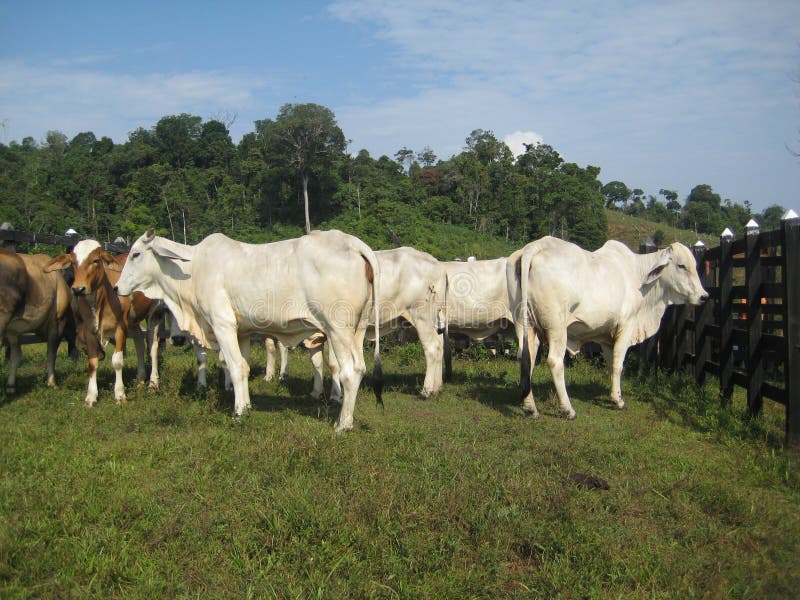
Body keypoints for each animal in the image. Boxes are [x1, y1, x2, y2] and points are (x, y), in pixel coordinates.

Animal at [45, 240, 164, 406]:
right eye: (73, 262)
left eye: (96, 260)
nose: (78, 289)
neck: (100, 299)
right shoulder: (89, 330)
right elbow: (92, 362)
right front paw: (91, 396)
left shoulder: (120, 327)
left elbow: (117, 361)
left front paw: (120, 394)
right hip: (132, 321)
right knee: (140, 343)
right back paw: (140, 380)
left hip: (155, 312)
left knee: (152, 346)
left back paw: (153, 384)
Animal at [114, 229, 382, 432]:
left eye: (136, 254)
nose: (116, 287)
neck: (194, 270)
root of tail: (352, 243)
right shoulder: (242, 332)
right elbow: (244, 367)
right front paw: (247, 406)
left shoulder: (222, 324)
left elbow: (235, 368)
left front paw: (239, 412)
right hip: (357, 330)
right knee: (359, 367)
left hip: (338, 329)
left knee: (350, 371)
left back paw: (342, 425)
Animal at [507, 237, 709, 419]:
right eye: (682, 266)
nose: (703, 296)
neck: (637, 275)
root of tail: (535, 247)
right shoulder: (626, 325)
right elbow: (619, 365)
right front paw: (618, 401)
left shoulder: (607, 335)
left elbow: (611, 364)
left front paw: (614, 396)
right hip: (557, 328)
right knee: (554, 361)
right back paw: (568, 409)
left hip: (525, 325)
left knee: (527, 357)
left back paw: (530, 408)